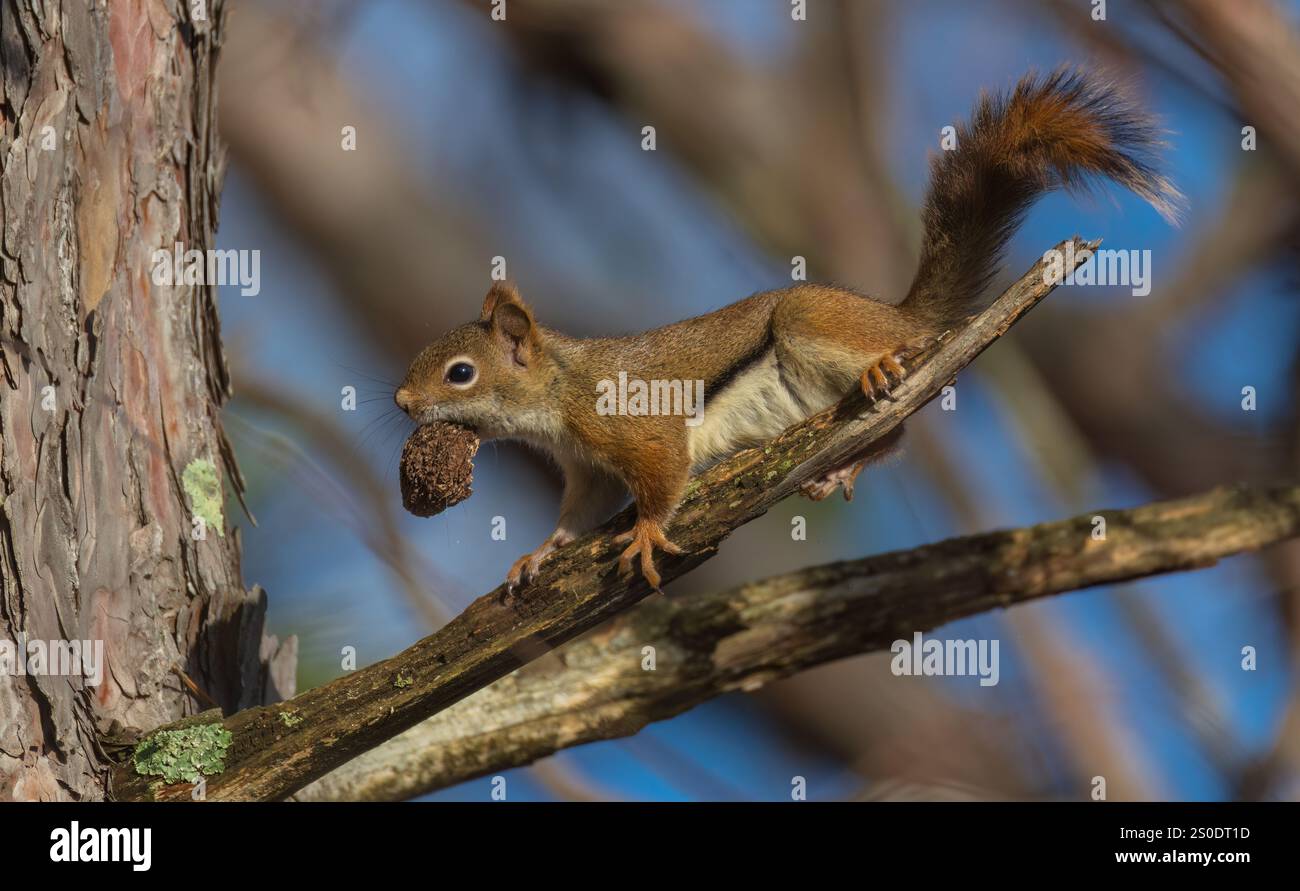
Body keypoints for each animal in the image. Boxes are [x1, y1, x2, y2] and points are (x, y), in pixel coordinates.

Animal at [394, 68, 1182, 591]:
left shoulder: (631, 427)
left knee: (898, 398)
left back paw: (876, 374)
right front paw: (539, 552)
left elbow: (661, 479)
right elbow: (577, 515)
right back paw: (845, 462)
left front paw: (645, 533)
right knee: (894, 434)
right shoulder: (585, 469)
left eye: (460, 372)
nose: (402, 403)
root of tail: (897, 313)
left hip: (811, 325)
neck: (558, 391)